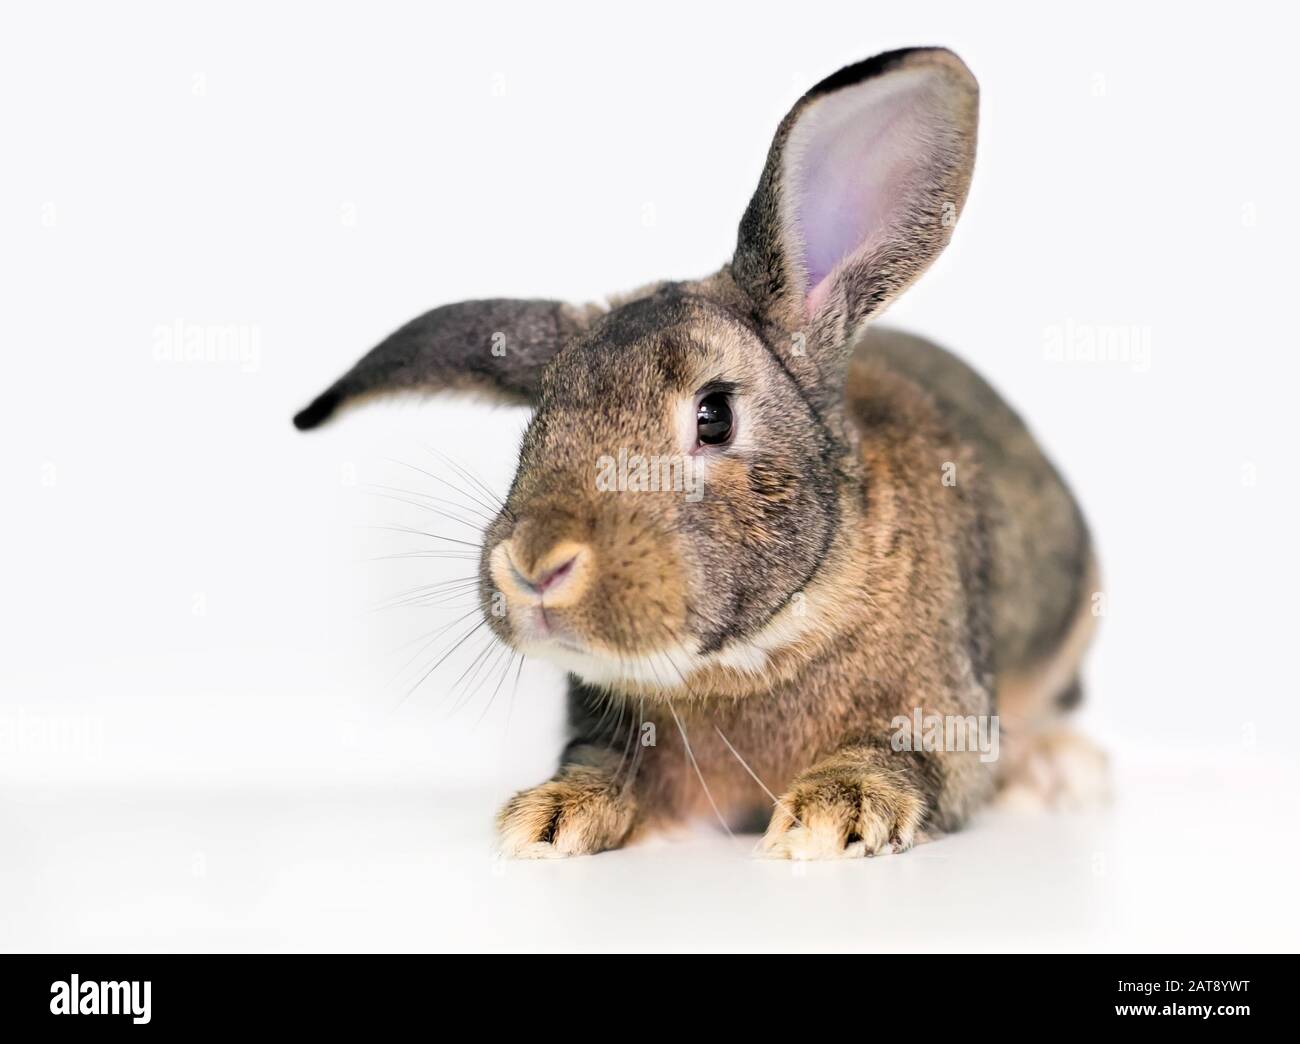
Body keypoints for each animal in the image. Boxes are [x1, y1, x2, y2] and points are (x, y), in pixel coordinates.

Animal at [294, 47, 1105, 859]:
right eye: (537, 420)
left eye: (714, 416)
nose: (532, 567)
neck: (758, 649)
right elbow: (605, 771)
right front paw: (547, 818)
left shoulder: (947, 719)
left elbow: (905, 760)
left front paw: (825, 818)